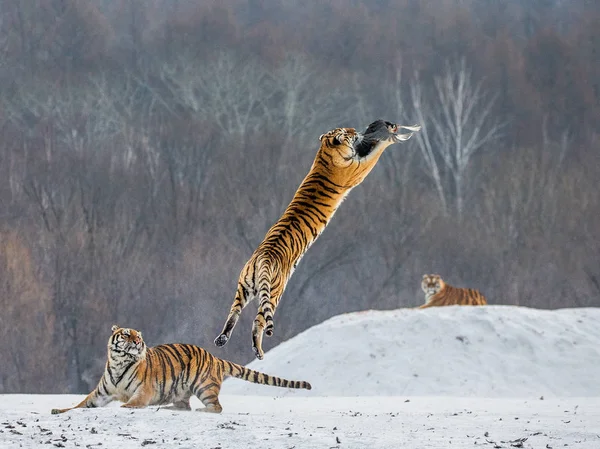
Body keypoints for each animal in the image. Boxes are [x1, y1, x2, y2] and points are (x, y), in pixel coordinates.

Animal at [51, 322, 312, 412]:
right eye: (125, 335)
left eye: (138, 336)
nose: (137, 342)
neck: (118, 363)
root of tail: (214, 357)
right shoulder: (100, 394)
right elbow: (80, 405)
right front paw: (58, 410)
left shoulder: (143, 390)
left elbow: (133, 401)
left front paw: (126, 406)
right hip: (179, 391)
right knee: (184, 405)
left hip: (204, 388)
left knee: (216, 407)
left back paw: (202, 411)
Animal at [213, 121, 420, 358]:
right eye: (346, 133)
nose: (356, 130)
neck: (326, 151)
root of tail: (262, 258)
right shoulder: (357, 170)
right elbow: (374, 156)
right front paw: (387, 138)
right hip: (274, 293)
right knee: (259, 322)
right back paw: (259, 351)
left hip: (243, 287)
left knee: (233, 313)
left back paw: (222, 339)